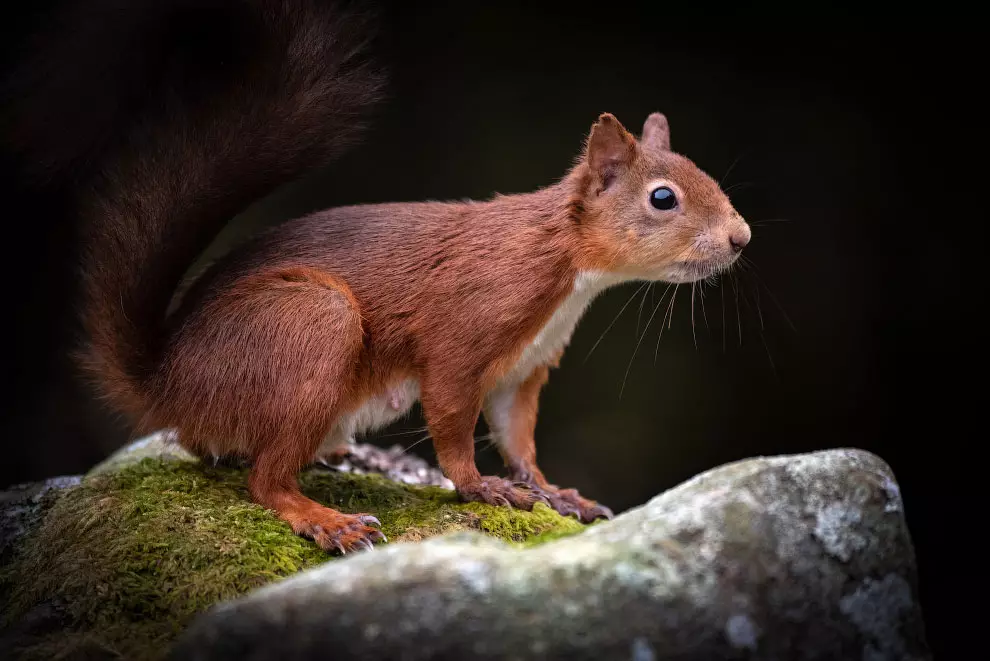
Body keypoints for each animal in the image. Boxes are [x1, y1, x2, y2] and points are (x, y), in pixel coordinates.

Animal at [23, 0, 752, 556]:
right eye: (663, 198)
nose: (742, 238)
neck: (567, 271)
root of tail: (168, 384)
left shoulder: (524, 369)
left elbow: (518, 436)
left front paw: (551, 490)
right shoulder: (463, 333)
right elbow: (454, 420)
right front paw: (481, 486)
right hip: (310, 324)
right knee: (264, 481)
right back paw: (326, 519)